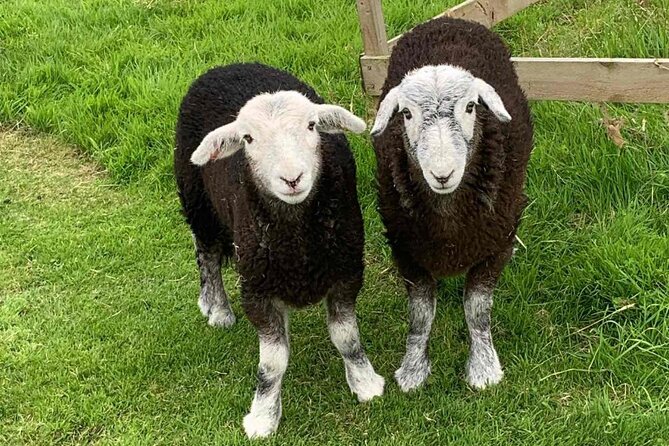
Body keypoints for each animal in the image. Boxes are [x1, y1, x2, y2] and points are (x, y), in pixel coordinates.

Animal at [174, 62, 385, 438]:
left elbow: (346, 338)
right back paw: (217, 306)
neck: (296, 241)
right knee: (206, 253)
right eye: (248, 138)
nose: (292, 179)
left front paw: (365, 383)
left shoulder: (346, 273)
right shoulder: (257, 290)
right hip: (197, 198)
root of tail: (228, 66)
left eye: (312, 126)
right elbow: (272, 363)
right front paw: (263, 415)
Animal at [370, 18, 533, 392]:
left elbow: (476, 310)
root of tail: (449, 19)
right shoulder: (405, 250)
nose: (442, 174)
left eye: (471, 107)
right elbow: (420, 314)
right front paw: (413, 368)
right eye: (406, 113)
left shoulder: (496, 245)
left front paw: (484, 367)